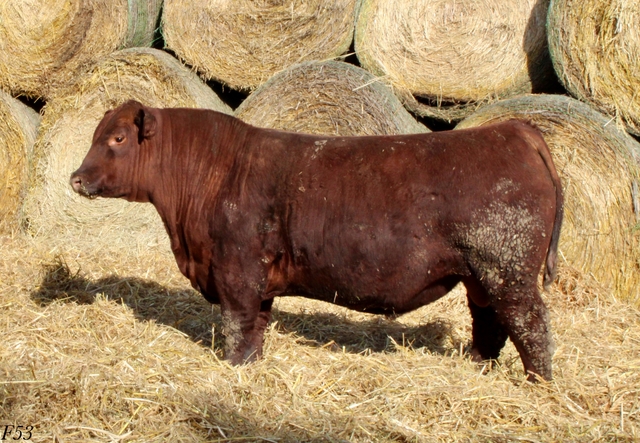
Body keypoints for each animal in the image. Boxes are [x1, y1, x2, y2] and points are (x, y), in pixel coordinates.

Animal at [70, 100, 563, 381]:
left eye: (117, 138)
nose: (75, 178)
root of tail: (513, 130)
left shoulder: (236, 272)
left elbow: (238, 327)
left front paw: (234, 369)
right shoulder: (258, 279)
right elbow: (257, 327)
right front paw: (251, 366)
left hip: (508, 271)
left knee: (531, 325)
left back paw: (538, 384)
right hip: (482, 276)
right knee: (490, 322)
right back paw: (478, 368)